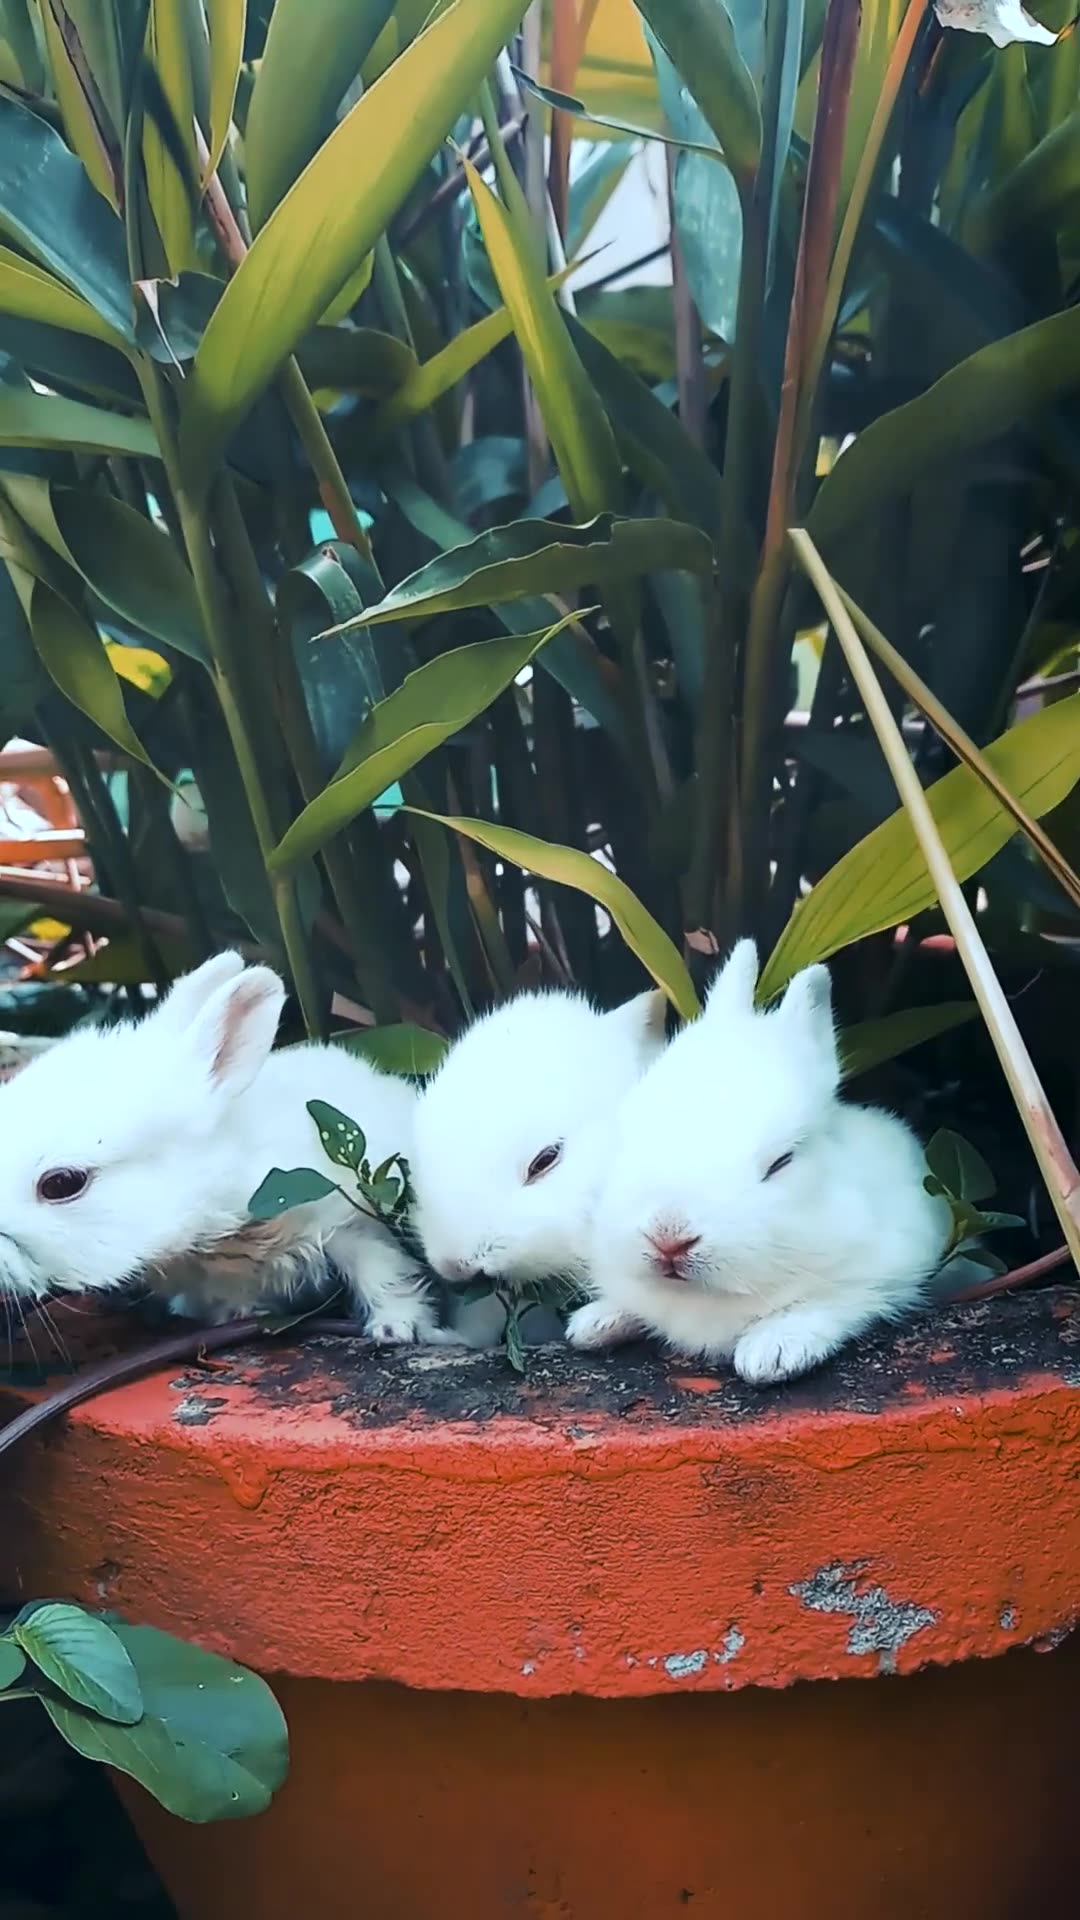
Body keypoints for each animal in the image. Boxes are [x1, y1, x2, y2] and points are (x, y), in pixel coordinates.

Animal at [566, 940, 952, 1385]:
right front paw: (593, 1325)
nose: (669, 1236)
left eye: (781, 1162)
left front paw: (771, 1355)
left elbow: (832, 1302)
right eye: (630, 1131)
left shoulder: (887, 1269)